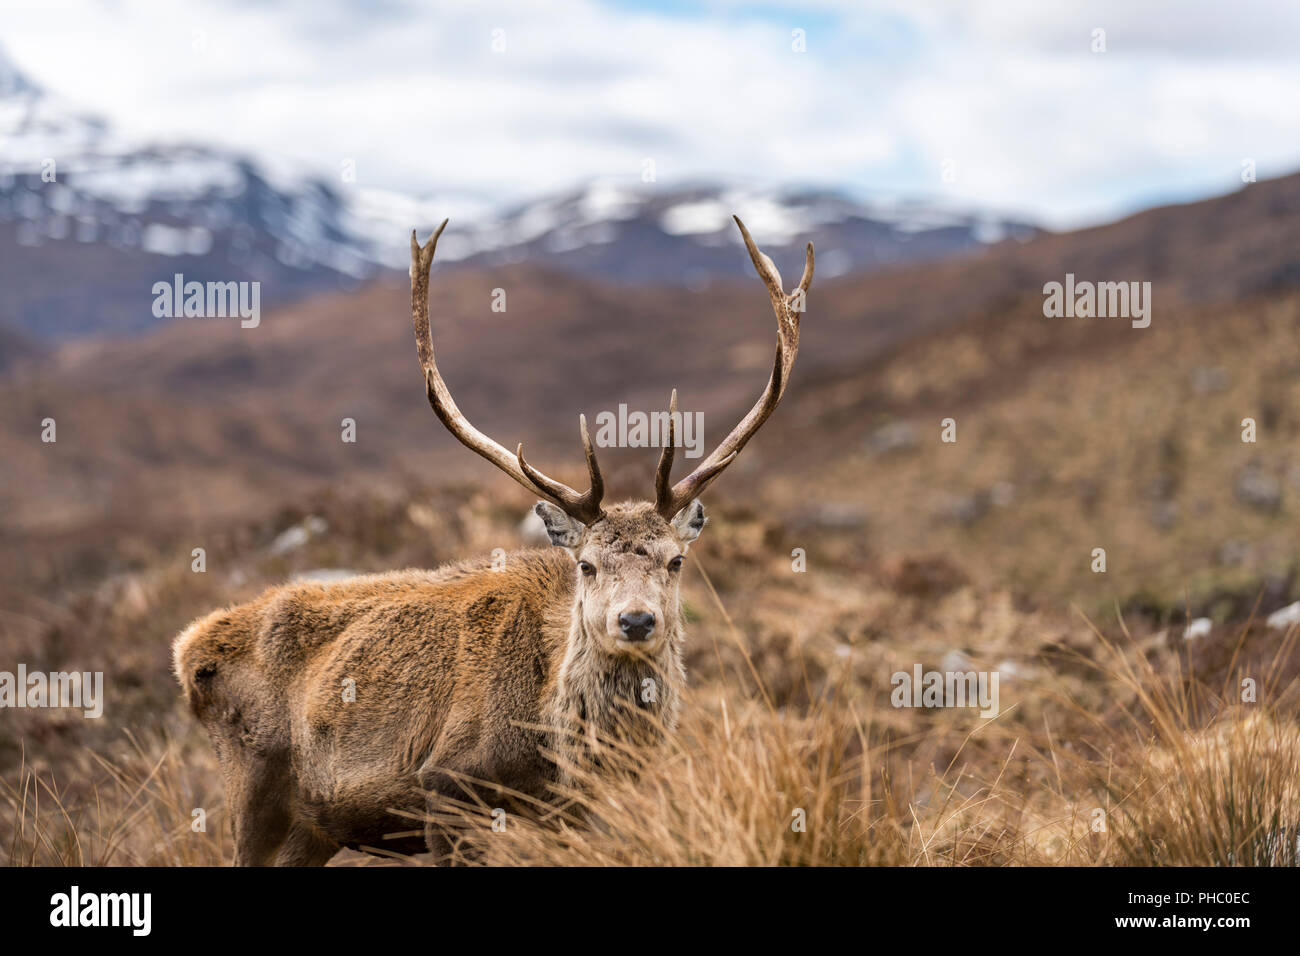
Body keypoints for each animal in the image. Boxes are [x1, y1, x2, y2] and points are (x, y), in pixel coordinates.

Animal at [172, 216, 813, 865]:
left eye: (676, 560)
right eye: (586, 565)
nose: (636, 621)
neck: (561, 748)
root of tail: (187, 650)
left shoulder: (583, 816)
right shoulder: (446, 787)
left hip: (312, 826)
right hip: (254, 787)